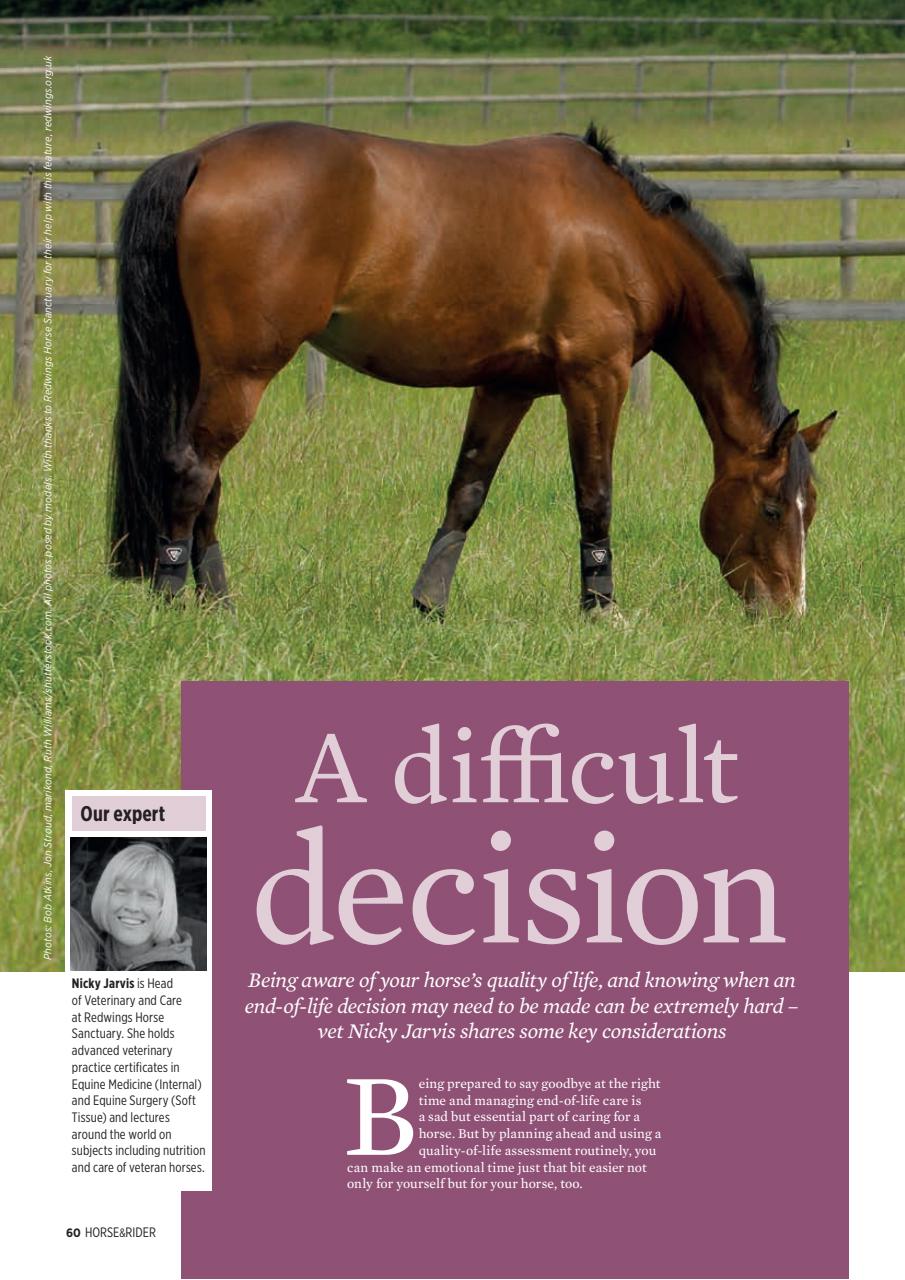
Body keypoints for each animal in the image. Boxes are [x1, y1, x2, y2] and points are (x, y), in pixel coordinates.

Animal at [109, 122, 835, 616]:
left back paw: (218, 604)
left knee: (208, 480)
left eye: (811, 507)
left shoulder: (506, 385)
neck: (629, 234)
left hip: (213, 371)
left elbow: (467, 489)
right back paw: (174, 598)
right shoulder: (595, 378)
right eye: (773, 507)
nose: (787, 612)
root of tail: (201, 158)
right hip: (242, 371)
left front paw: (430, 601)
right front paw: (601, 607)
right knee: (192, 470)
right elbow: (594, 494)